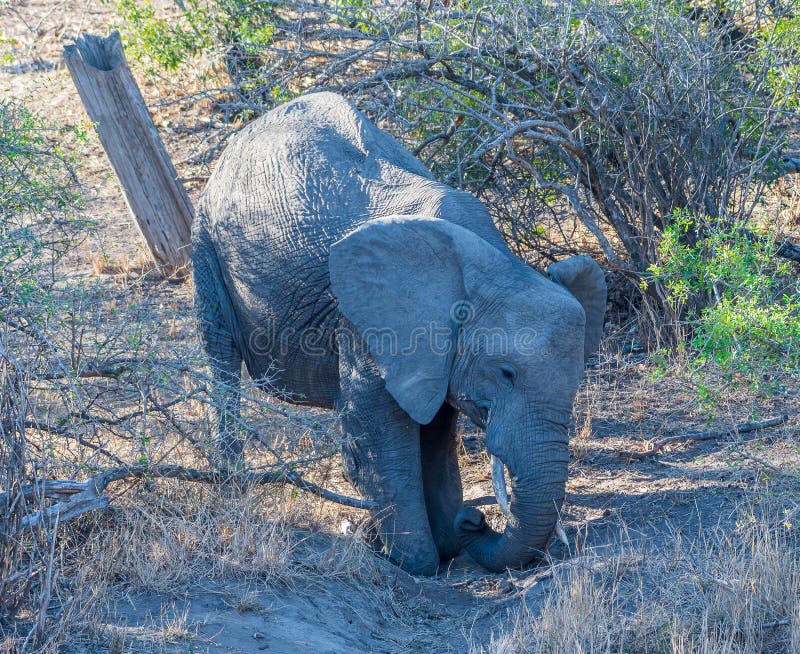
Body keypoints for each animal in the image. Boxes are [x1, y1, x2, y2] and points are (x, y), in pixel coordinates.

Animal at [192, 91, 606, 575]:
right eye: (505, 374)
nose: (477, 519)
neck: (494, 264)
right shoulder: (367, 322)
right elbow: (376, 427)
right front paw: (410, 557)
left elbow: (436, 430)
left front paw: (442, 539)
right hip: (205, 242)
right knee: (220, 356)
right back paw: (232, 485)